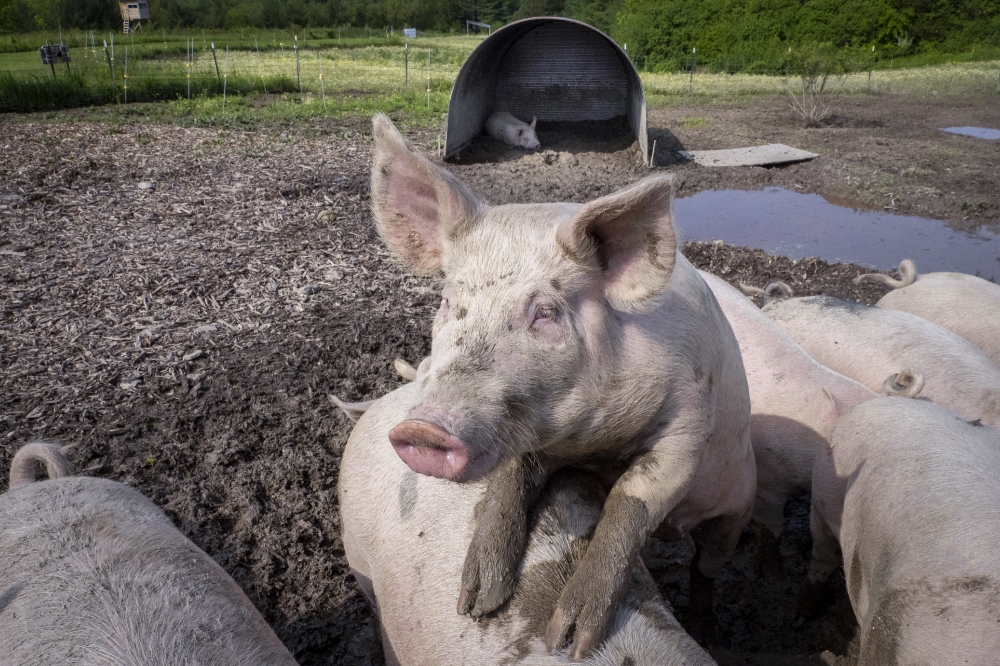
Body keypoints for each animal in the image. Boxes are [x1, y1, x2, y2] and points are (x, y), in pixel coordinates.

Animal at [368, 113, 755, 656]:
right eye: (447, 302)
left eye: (545, 313)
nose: (423, 429)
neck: (593, 445)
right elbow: (512, 474)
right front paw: (477, 601)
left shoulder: (689, 421)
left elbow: (632, 499)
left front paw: (570, 639)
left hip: (737, 506)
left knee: (707, 569)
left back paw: (706, 626)